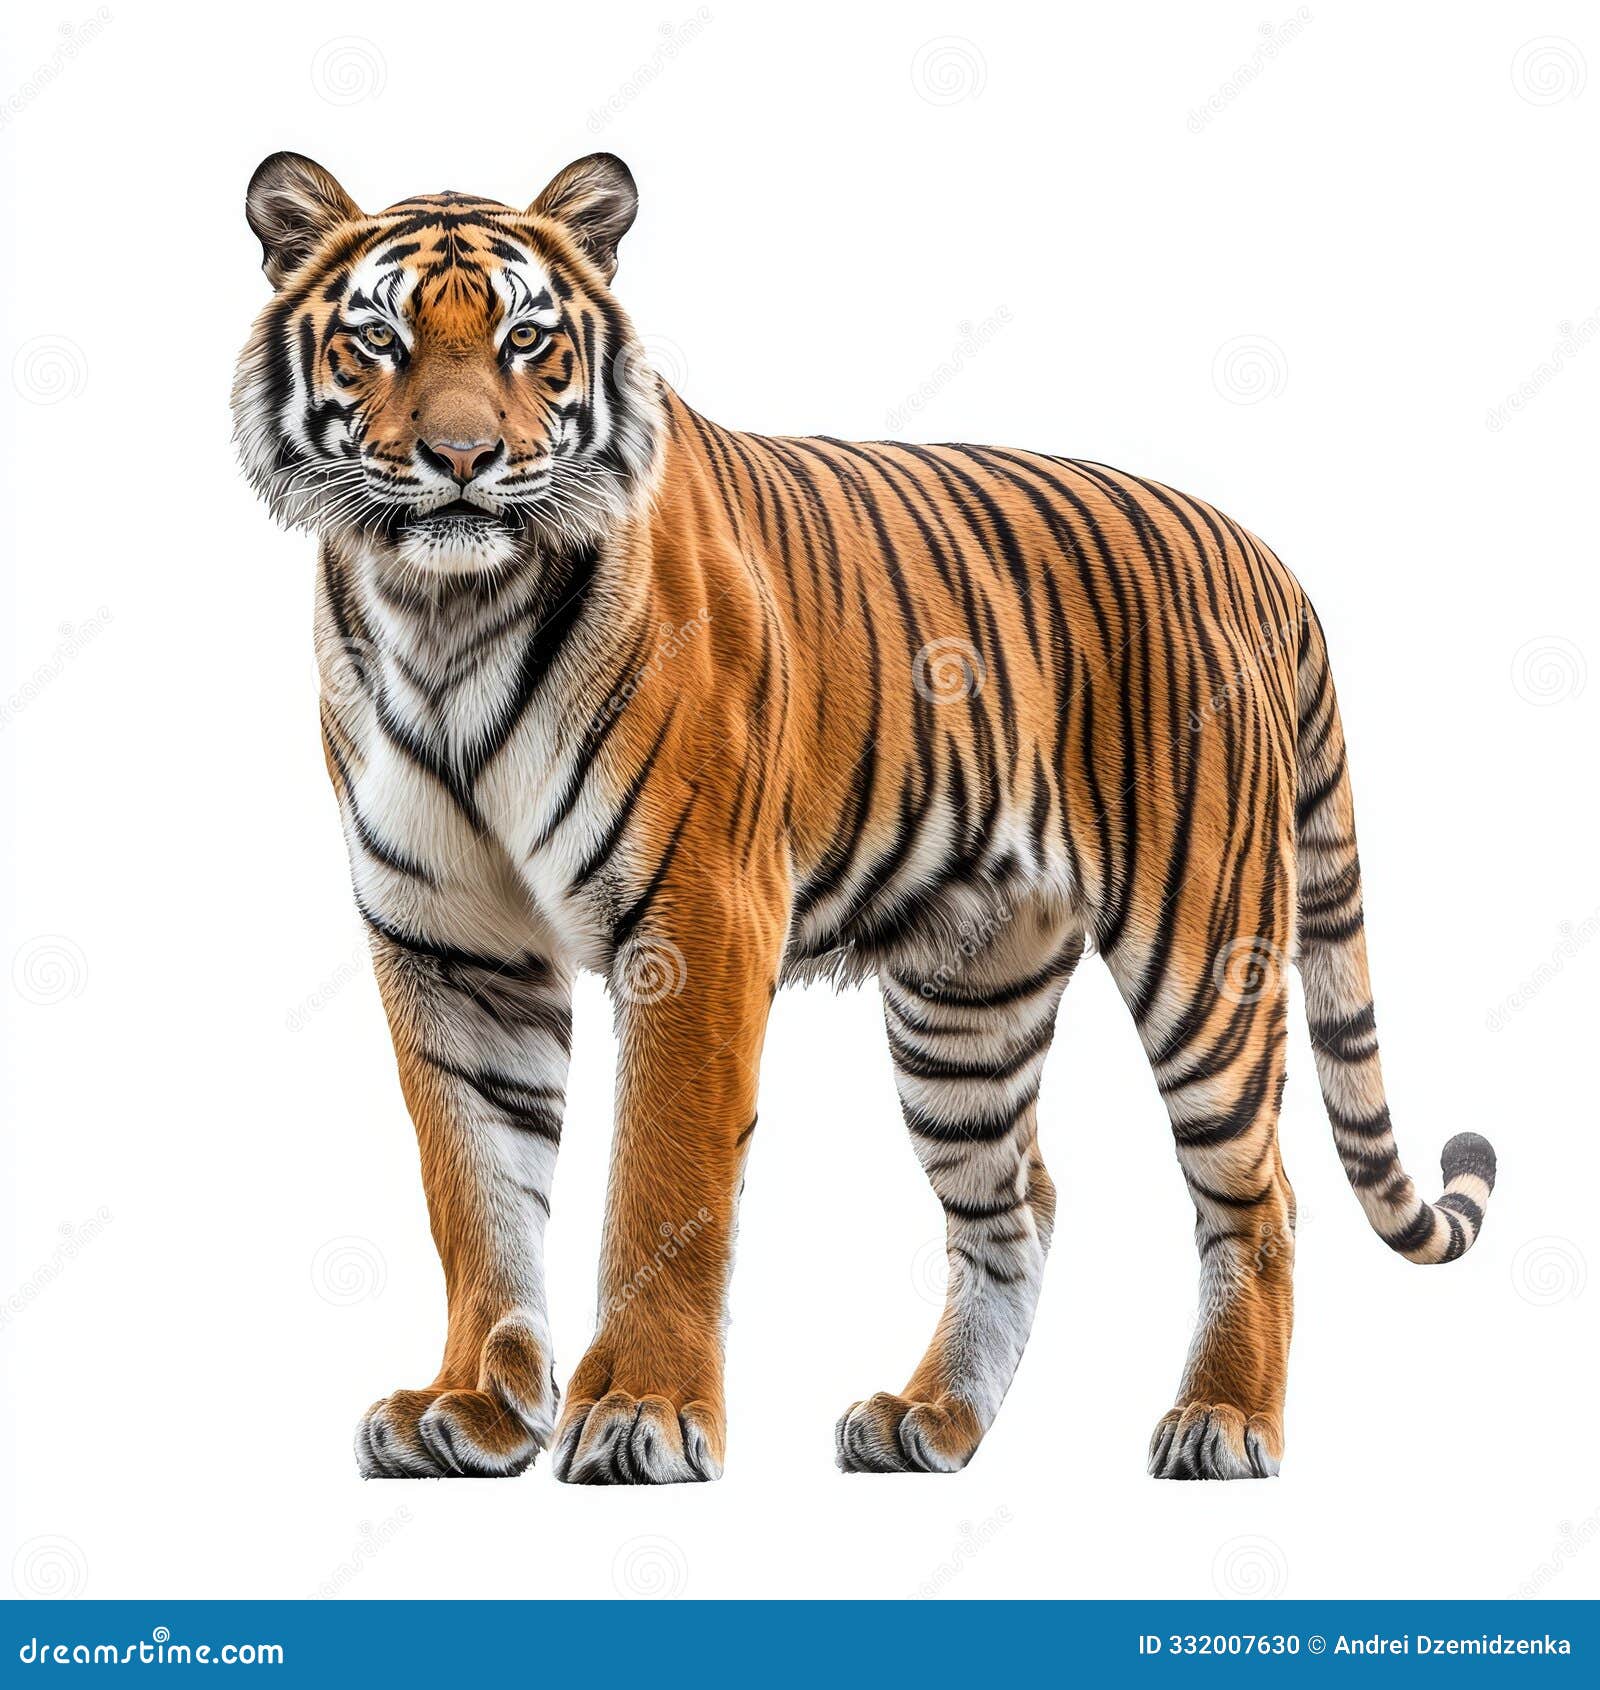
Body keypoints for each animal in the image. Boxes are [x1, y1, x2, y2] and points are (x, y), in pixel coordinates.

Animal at [233, 150, 1496, 1484]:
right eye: (378, 339)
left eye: (527, 340)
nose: (463, 457)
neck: (447, 613)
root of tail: (1260, 555)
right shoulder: (447, 941)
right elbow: (473, 1186)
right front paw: (472, 1404)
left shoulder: (697, 916)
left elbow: (662, 1182)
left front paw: (639, 1411)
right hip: (967, 998)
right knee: (1017, 1203)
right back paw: (928, 1418)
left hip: (1205, 952)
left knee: (1258, 1193)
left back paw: (1224, 1420)